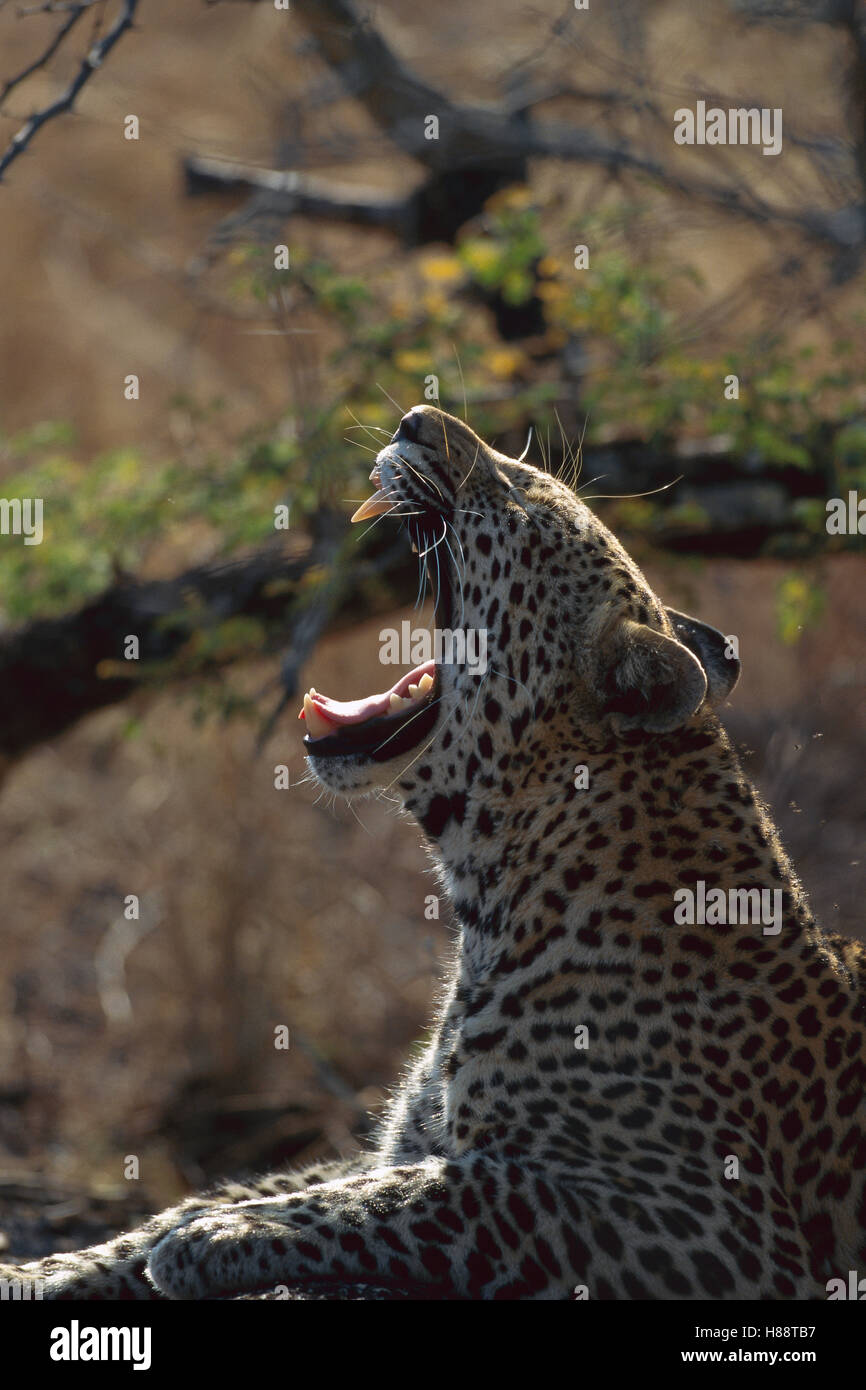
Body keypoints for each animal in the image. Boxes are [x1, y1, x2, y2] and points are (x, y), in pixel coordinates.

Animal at [2, 404, 863, 1300]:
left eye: (520, 499)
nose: (418, 417)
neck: (486, 896)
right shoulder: (400, 1140)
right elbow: (259, 1186)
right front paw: (51, 1265)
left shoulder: (706, 1223)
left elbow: (436, 1190)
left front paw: (222, 1235)